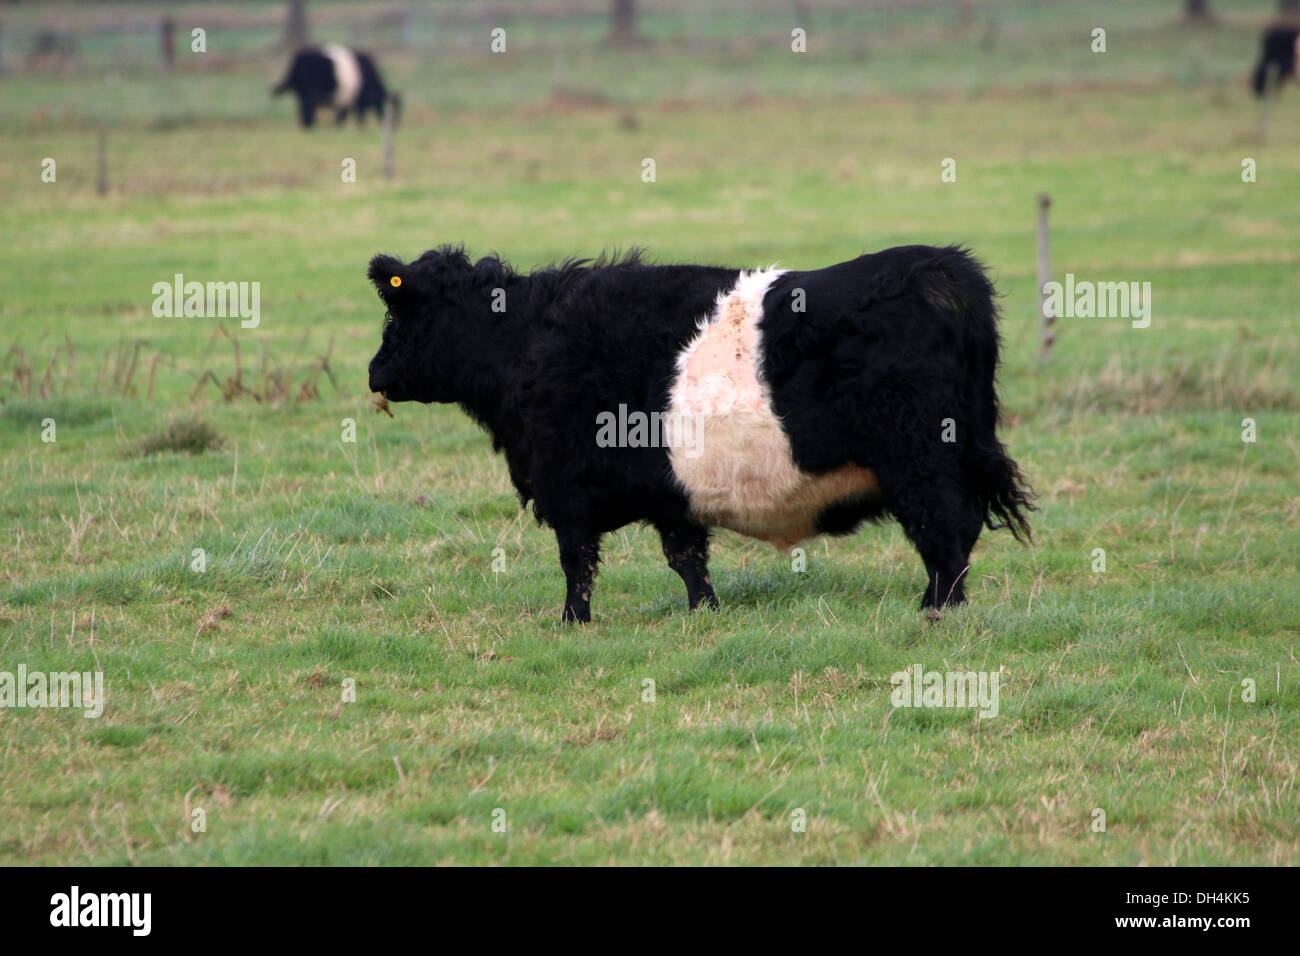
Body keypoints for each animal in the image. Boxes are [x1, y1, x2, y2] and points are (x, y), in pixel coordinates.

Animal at [272, 44, 401, 128]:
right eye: (395, 110)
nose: (395, 125)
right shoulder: (353, 100)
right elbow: (354, 116)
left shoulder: (344, 99)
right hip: (312, 92)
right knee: (309, 105)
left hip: (304, 91)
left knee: (304, 105)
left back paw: (306, 123)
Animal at [365, 245, 1035, 623]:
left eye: (401, 313)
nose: (373, 371)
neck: (530, 340)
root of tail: (943, 269)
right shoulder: (670, 496)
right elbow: (687, 559)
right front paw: (704, 613)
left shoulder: (566, 491)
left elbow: (576, 563)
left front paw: (572, 621)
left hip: (921, 460)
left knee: (947, 532)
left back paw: (936, 610)